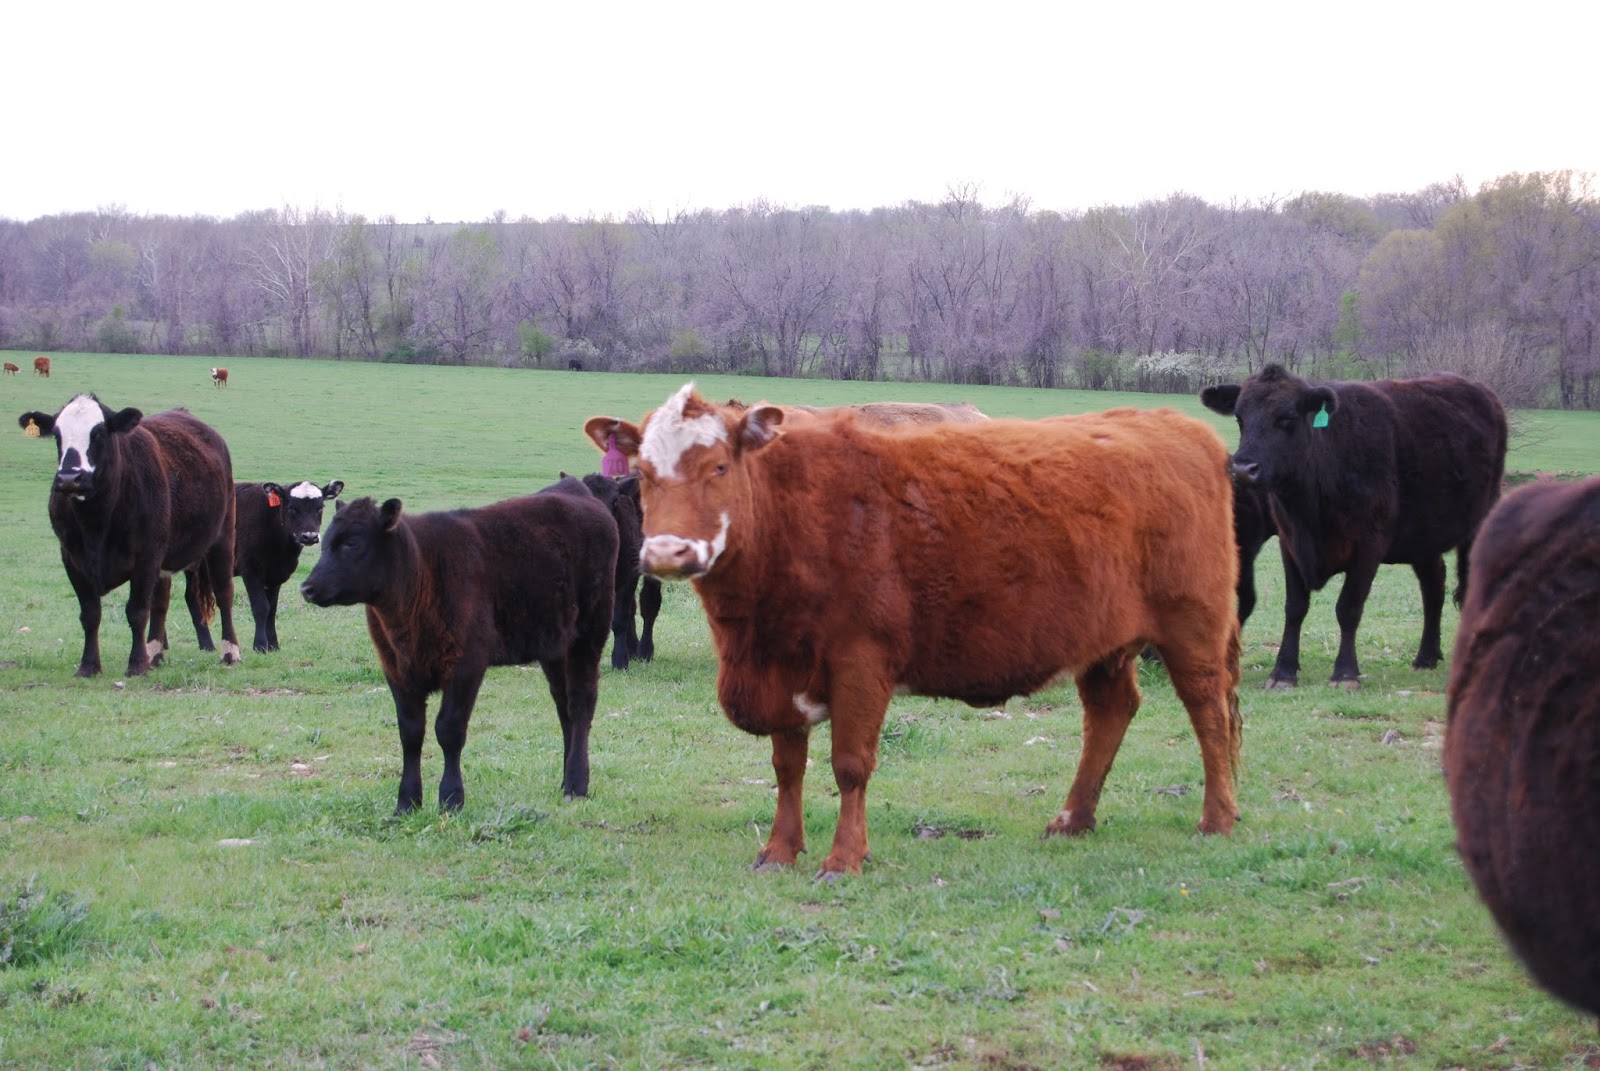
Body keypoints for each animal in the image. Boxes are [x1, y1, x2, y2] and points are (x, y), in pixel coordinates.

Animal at [16, 394, 241, 677]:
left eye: (99, 433)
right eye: (57, 435)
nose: (69, 477)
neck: (96, 521)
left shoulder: (146, 557)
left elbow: (136, 611)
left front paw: (135, 664)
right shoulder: (71, 559)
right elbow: (90, 614)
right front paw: (89, 665)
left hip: (222, 538)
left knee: (224, 593)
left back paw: (230, 652)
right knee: (161, 602)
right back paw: (154, 654)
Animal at [300, 492, 618, 811]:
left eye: (353, 543)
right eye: (325, 543)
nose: (307, 588)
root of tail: (578, 494)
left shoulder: (466, 664)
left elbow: (449, 730)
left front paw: (451, 798)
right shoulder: (395, 668)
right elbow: (410, 733)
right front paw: (407, 802)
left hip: (590, 632)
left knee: (581, 703)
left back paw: (577, 783)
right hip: (553, 645)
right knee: (563, 705)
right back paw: (566, 781)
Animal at [585, 385, 1243, 878]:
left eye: (719, 466)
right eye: (643, 474)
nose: (666, 553)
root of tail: (1170, 423)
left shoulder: (860, 661)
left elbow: (850, 764)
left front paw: (844, 858)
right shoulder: (781, 667)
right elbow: (787, 766)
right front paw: (779, 850)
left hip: (1192, 628)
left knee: (1209, 715)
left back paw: (1217, 819)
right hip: (1106, 644)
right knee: (1111, 712)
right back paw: (1073, 819)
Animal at [1201, 364, 1506, 688]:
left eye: (1287, 419)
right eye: (1240, 418)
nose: (1243, 469)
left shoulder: (1368, 545)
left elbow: (1348, 607)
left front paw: (1345, 672)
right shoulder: (1290, 542)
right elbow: (1295, 607)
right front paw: (1283, 671)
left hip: (1481, 523)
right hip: (1423, 537)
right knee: (1433, 586)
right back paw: (1425, 657)